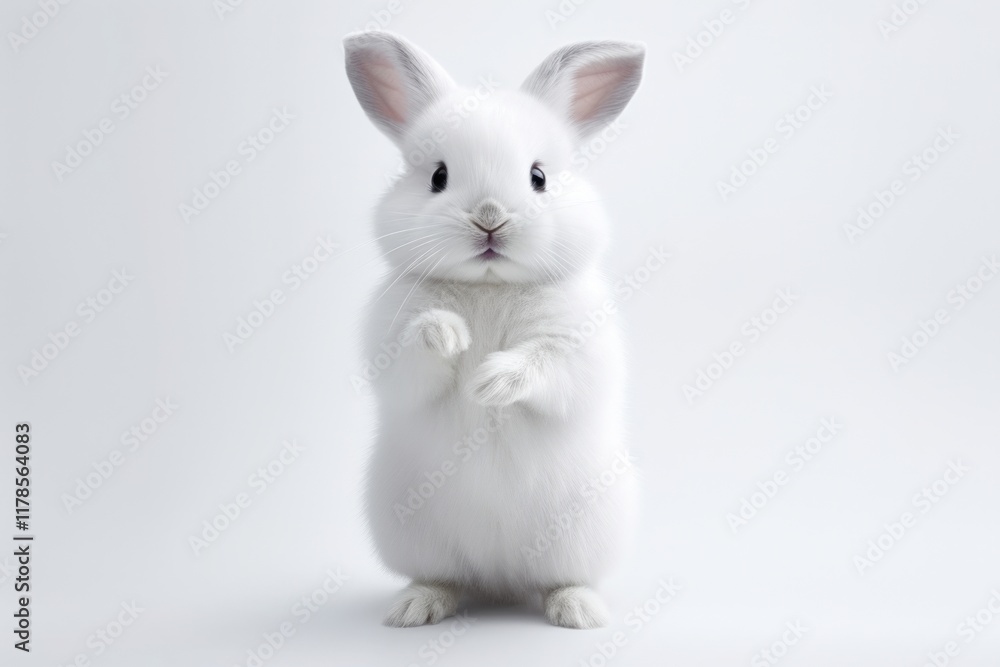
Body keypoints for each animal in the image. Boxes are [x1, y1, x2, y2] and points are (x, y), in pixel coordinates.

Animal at [343, 31, 645, 629]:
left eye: (539, 178)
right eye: (438, 177)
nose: (489, 216)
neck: (489, 286)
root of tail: (501, 580)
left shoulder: (576, 346)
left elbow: (545, 365)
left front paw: (489, 381)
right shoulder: (390, 341)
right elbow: (413, 354)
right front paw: (450, 337)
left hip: (579, 537)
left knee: (561, 580)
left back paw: (579, 612)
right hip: (417, 539)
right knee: (444, 578)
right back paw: (414, 608)